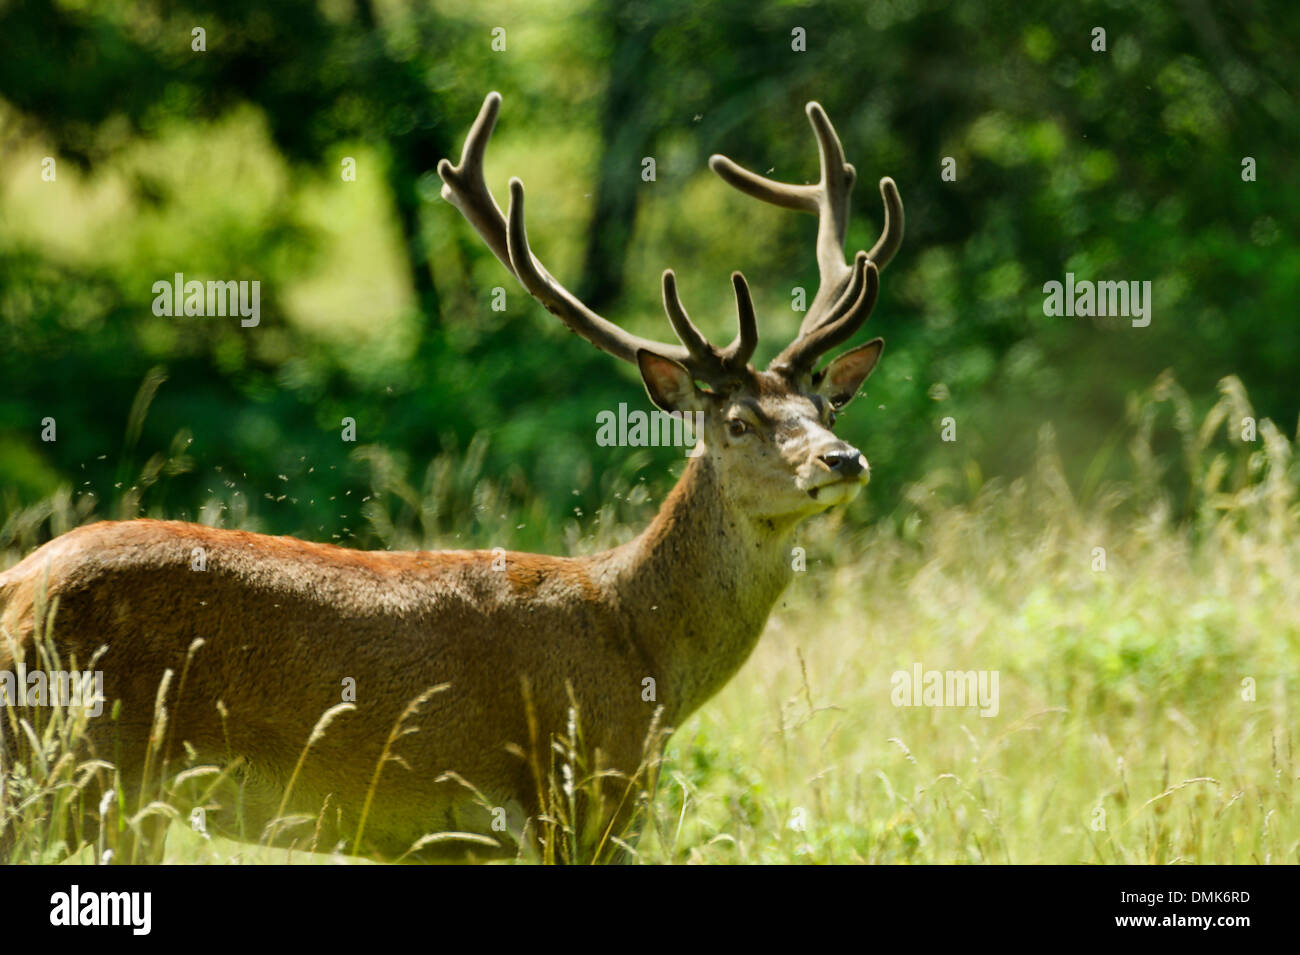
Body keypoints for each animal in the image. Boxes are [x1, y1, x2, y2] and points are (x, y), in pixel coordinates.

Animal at [0, 91, 902, 864]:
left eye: (826, 405)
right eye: (740, 422)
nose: (844, 459)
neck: (643, 652)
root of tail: (16, 589)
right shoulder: (576, 796)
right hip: (77, 774)